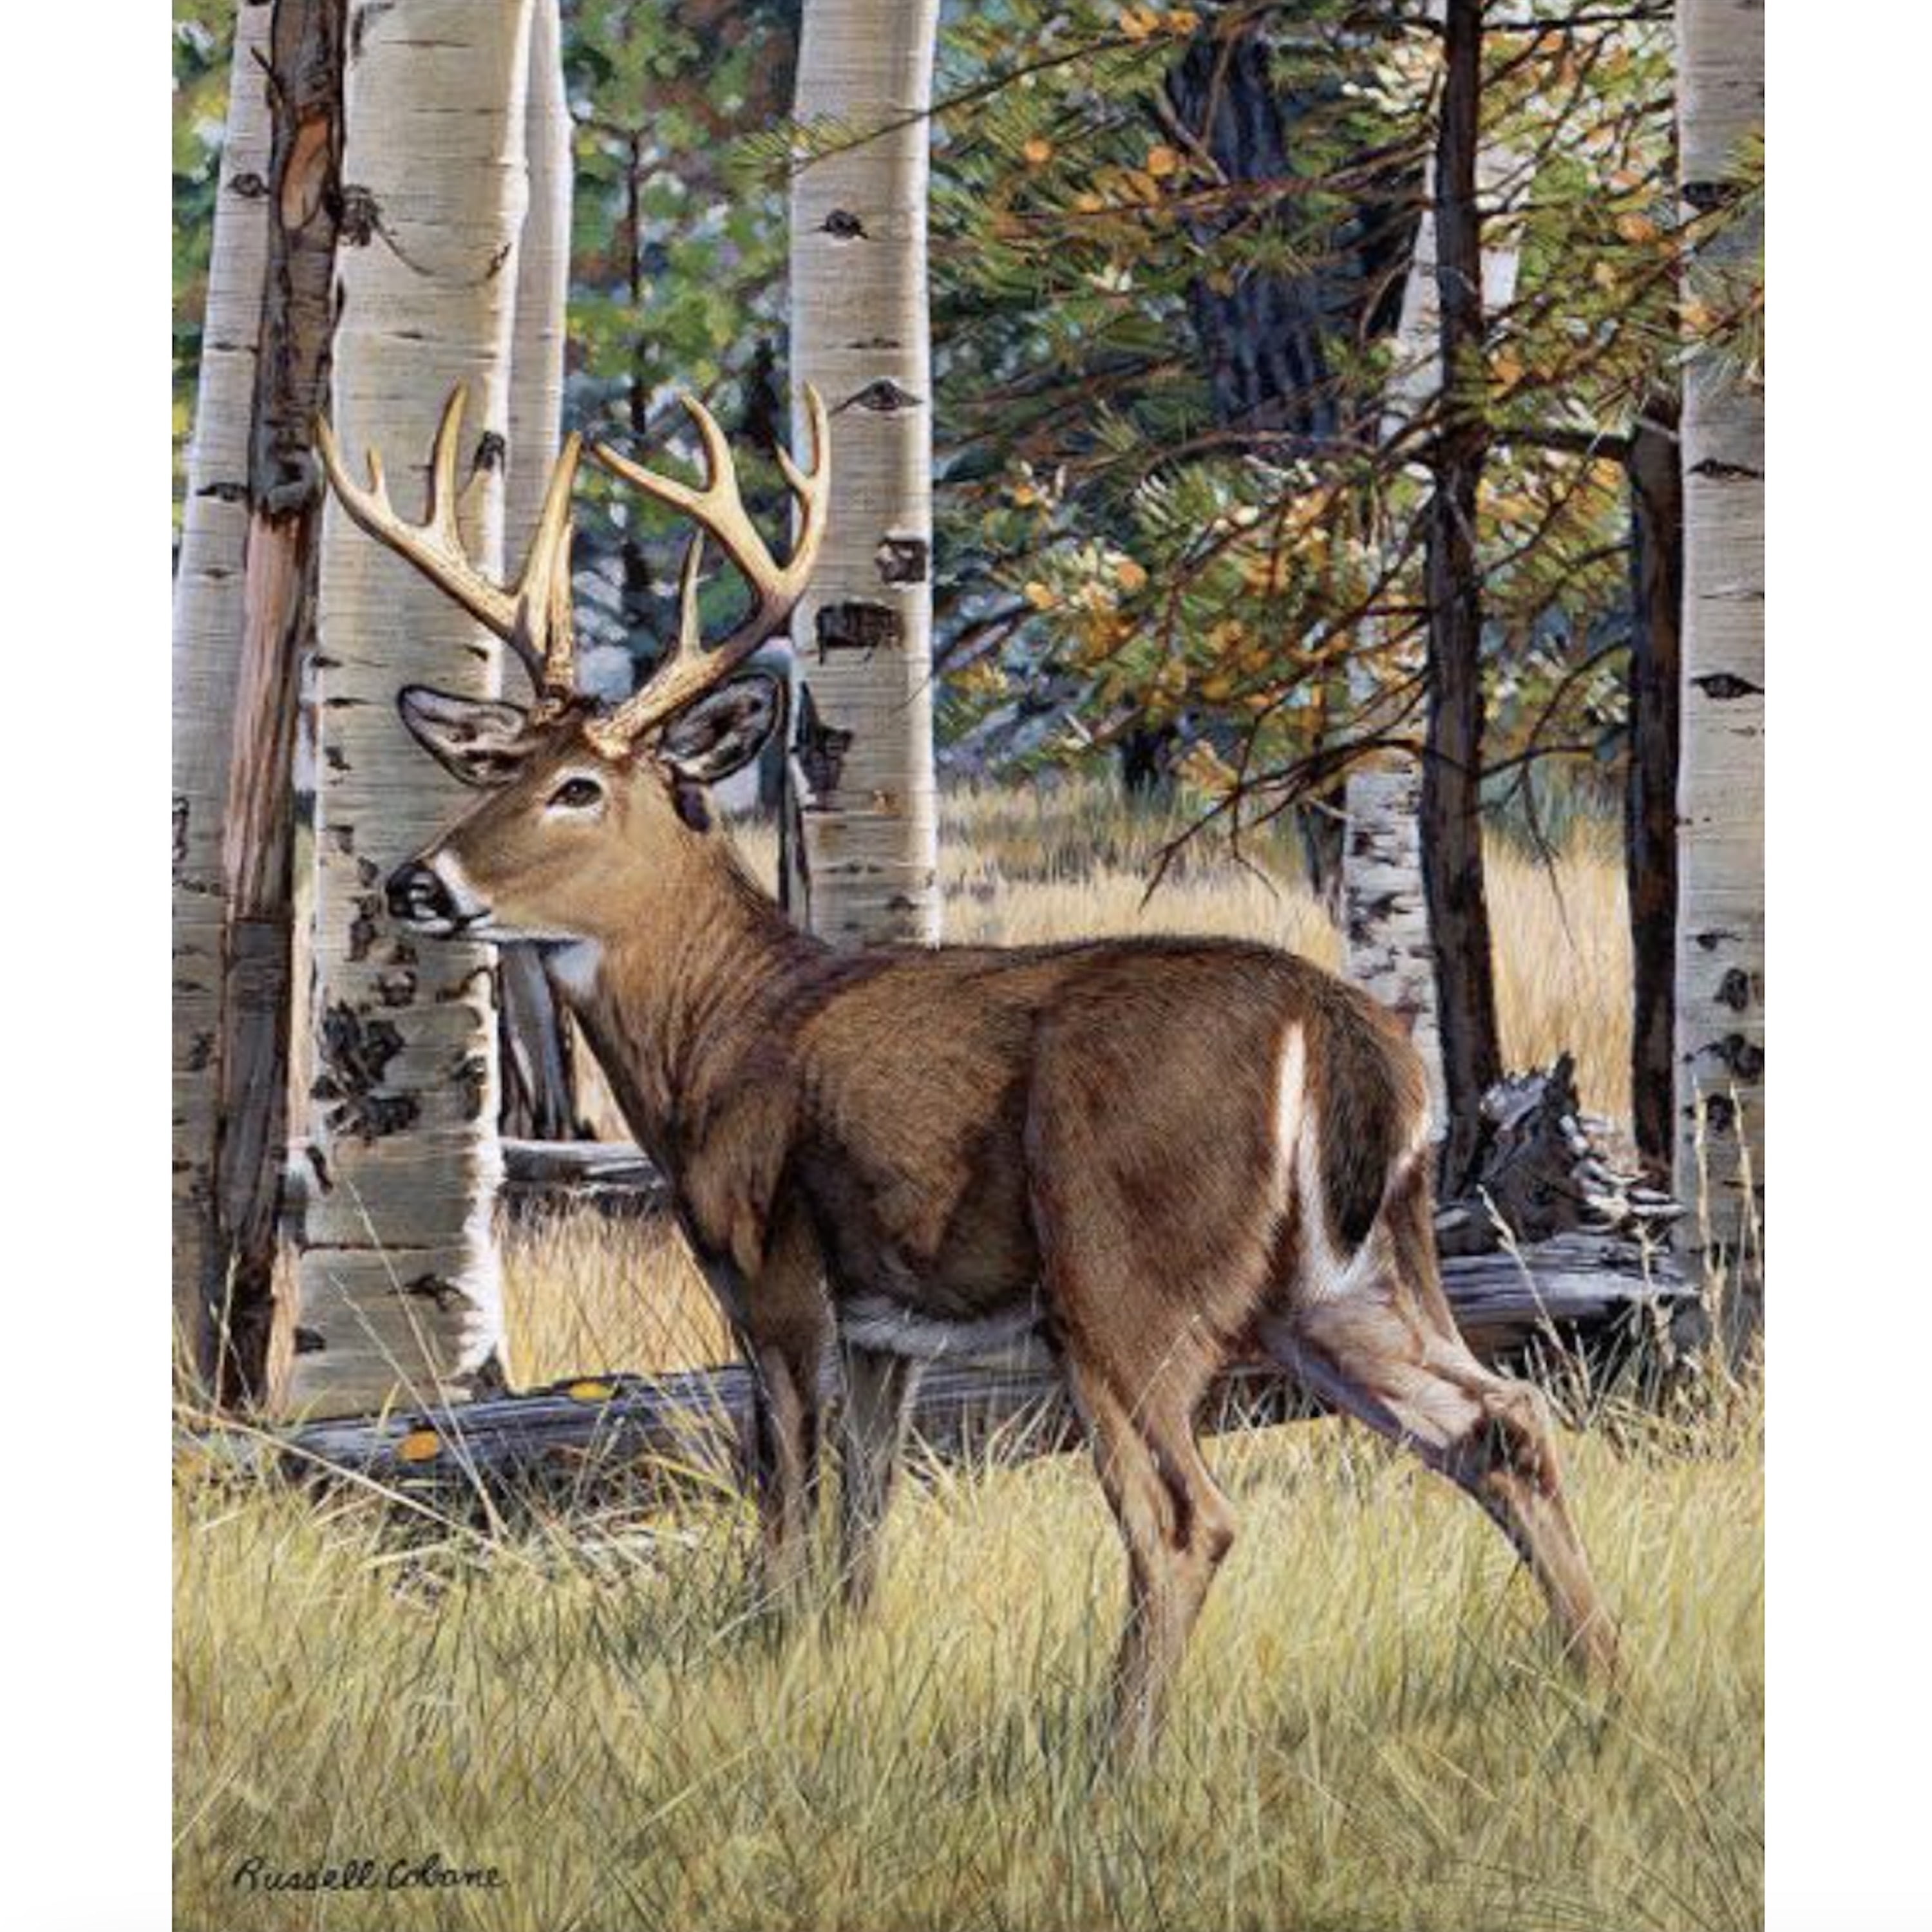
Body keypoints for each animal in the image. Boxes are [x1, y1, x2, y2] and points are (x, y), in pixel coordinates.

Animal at [316, 384, 1619, 1750]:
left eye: (577, 787)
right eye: (494, 770)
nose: (418, 883)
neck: (716, 1036)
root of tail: (1350, 1038)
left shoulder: (768, 1263)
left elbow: (786, 1490)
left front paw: (771, 1649)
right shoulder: (890, 1321)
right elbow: (865, 1512)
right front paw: (840, 1650)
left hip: (1123, 1275)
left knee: (1187, 1517)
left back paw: (1117, 1752)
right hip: (1353, 1281)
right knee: (1503, 1426)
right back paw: (1606, 1687)